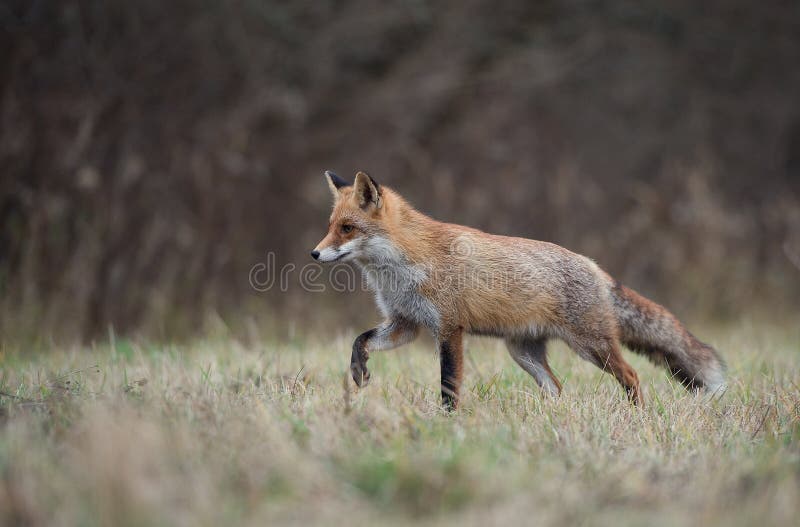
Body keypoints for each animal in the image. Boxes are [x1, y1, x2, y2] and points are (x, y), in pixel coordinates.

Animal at [312, 171, 725, 410]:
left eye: (347, 229)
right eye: (330, 226)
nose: (314, 253)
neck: (401, 269)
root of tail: (596, 268)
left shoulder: (448, 328)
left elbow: (448, 384)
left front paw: (447, 422)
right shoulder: (406, 324)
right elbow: (360, 340)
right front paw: (359, 372)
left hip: (592, 347)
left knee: (632, 376)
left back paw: (636, 416)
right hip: (523, 352)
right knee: (557, 388)